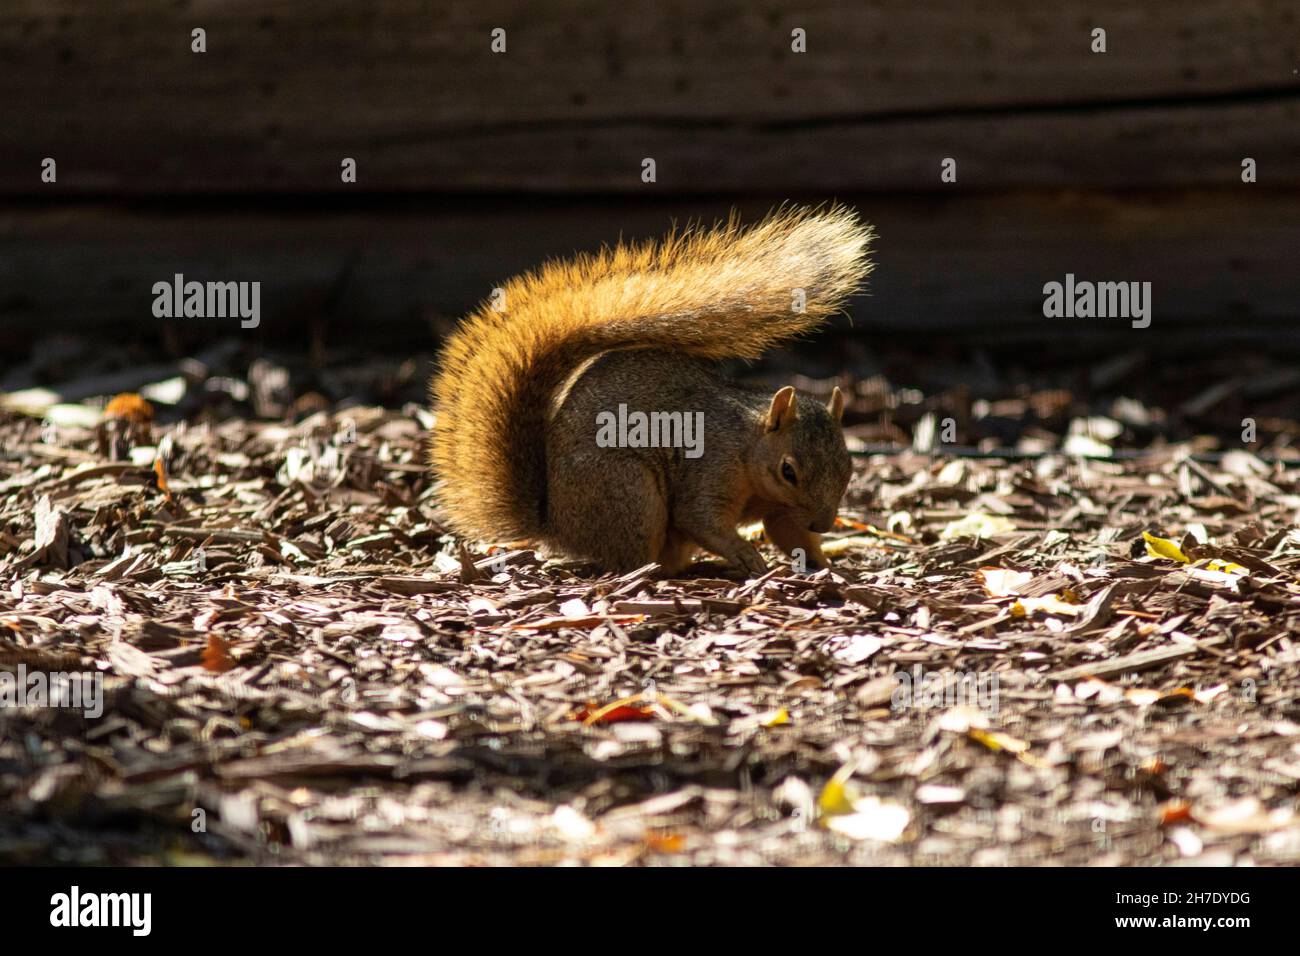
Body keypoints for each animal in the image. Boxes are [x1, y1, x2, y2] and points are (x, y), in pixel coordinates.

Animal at [429, 205, 874, 577]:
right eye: (788, 471)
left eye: (848, 467)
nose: (823, 523)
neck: (749, 447)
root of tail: (555, 524)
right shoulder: (711, 467)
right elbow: (700, 518)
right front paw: (747, 556)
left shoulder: (782, 509)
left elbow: (787, 532)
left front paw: (823, 562)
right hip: (629, 495)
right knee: (632, 559)